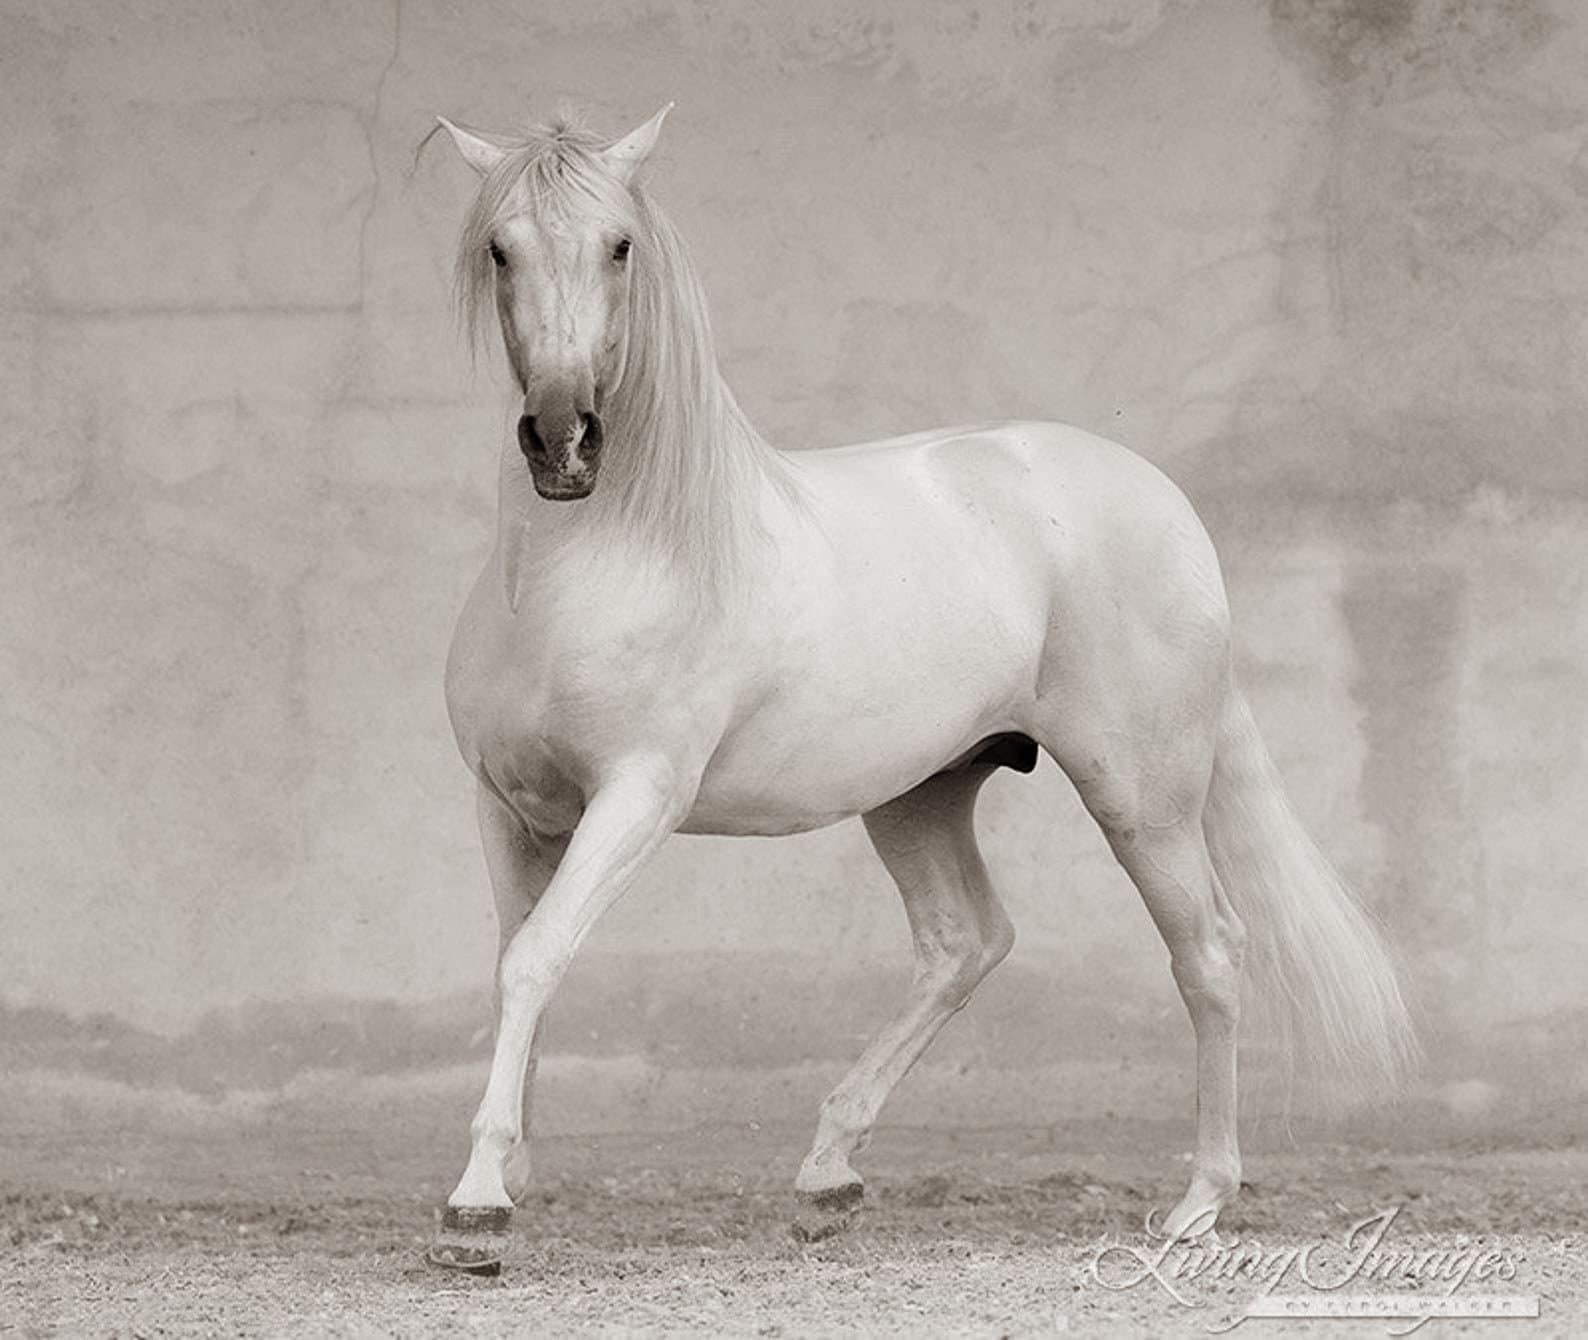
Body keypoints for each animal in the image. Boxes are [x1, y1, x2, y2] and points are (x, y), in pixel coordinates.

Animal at [423, 105, 1415, 1273]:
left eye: (621, 245)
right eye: (500, 248)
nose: (562, 437)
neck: (587, 568)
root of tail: (1162, 501)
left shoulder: (634, 799)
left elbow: (535, 958)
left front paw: (479, 1199)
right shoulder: (508, 807)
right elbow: (517, 958)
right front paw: (511, 1172)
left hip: (1142, 797)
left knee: (1208, 952)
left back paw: (1198, 1203)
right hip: (921, 793)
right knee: (964, 941)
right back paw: (827, 1173)